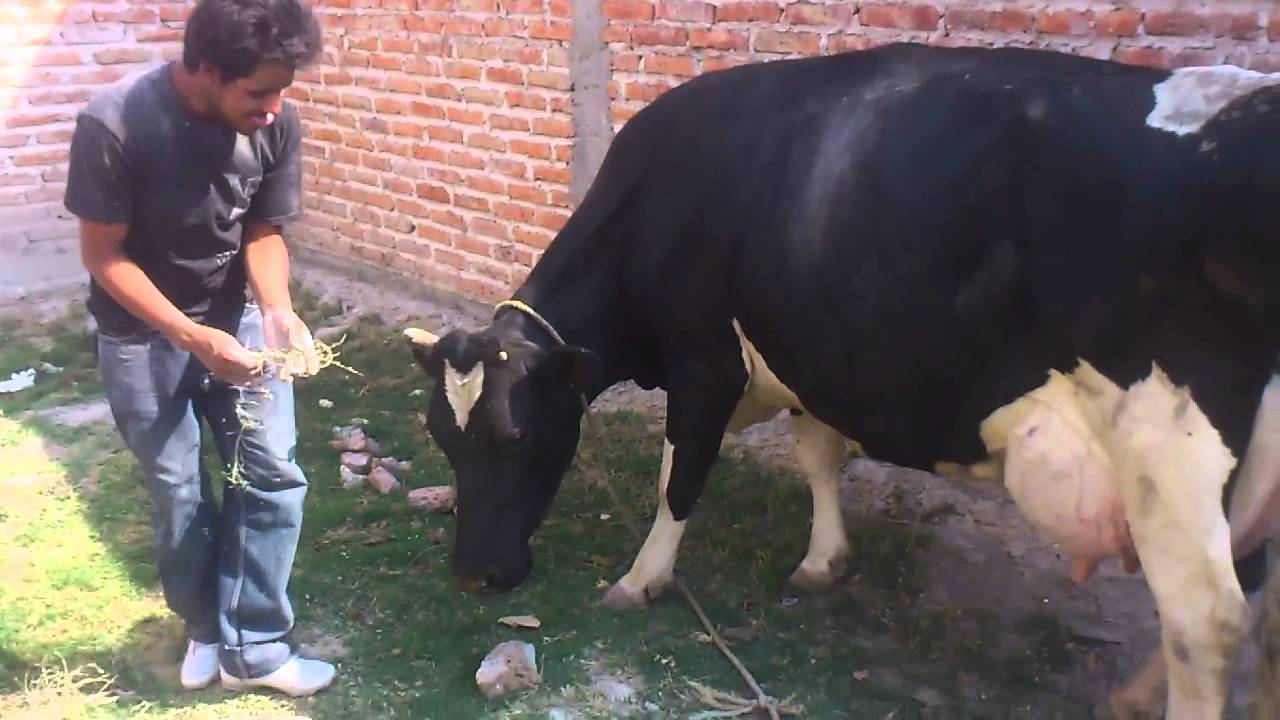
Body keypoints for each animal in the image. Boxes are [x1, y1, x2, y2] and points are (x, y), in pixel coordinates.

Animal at [403, 43, 1280, 716]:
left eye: (518, 435)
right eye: (443, 437)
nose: (473, 575)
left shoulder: (704, 363)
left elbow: (678, 480)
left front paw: (642, 579)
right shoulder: (809, 351)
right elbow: (820, 458)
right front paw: (824, 560)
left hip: (1170, 449)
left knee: (1208, 624)